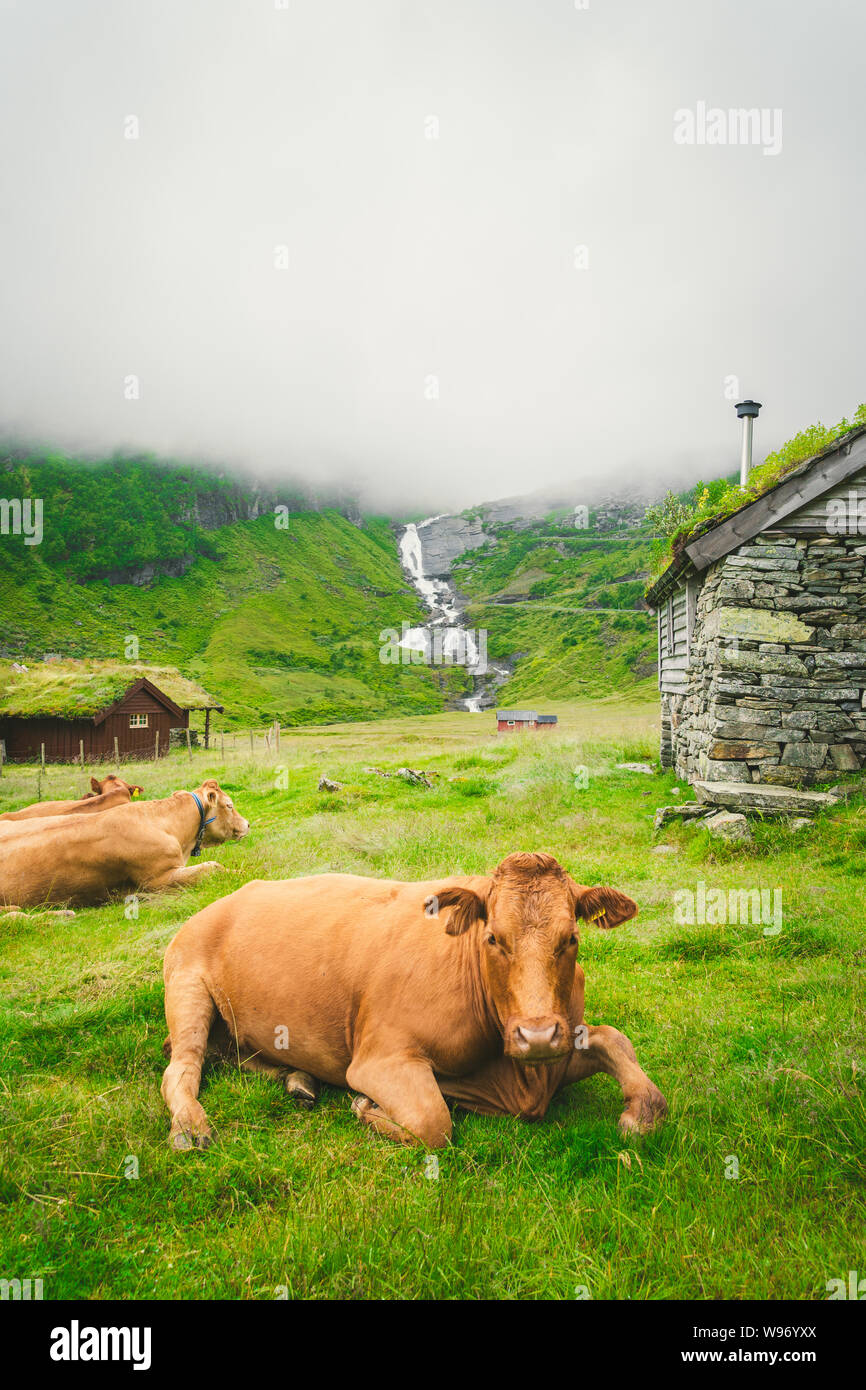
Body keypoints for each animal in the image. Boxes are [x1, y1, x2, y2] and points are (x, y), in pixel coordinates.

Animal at [160, 851, 666, 1151]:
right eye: (493, 938)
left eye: (571, 938)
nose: (538, 1036)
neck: (524, 1081)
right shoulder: (379, 1059)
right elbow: (433, 1122)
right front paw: (364, 1106)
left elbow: (615, 1042)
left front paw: (638, 1112)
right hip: (187, 989)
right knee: (182, 1066)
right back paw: (191, 1127)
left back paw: (298, 1080)